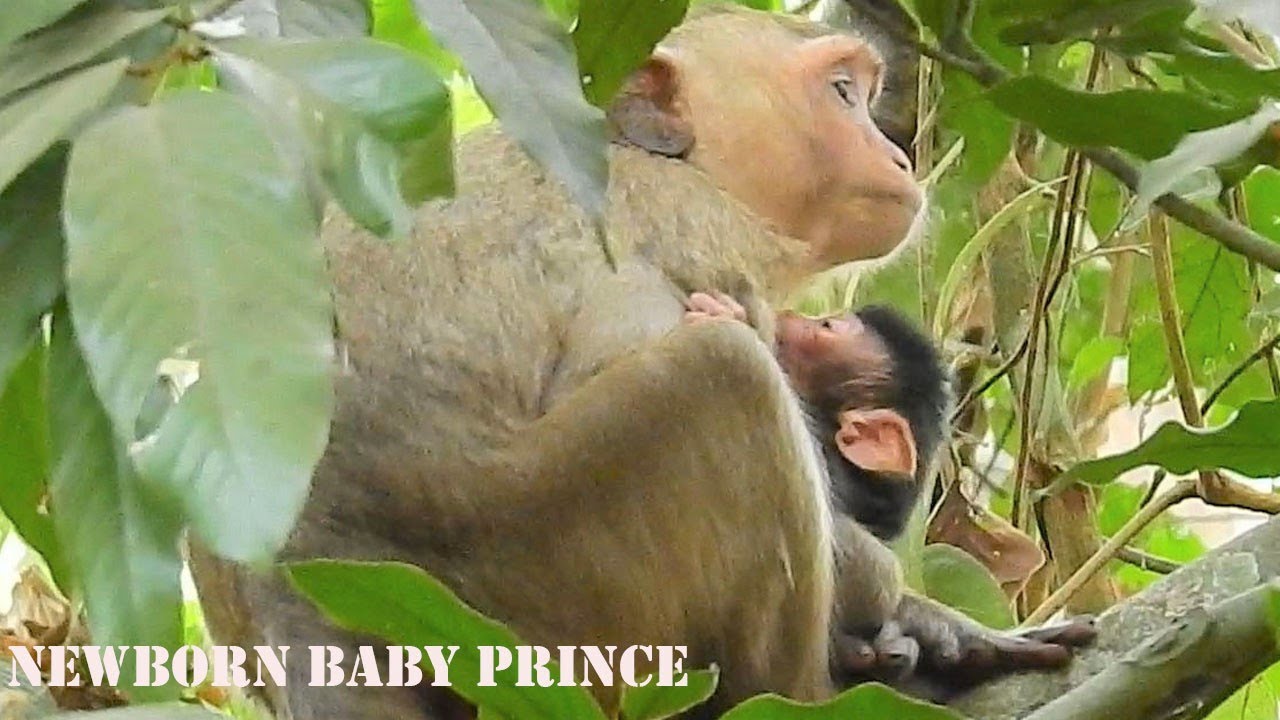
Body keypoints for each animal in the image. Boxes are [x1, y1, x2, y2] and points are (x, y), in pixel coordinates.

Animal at [190, 6, 1090, 719]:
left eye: (869, 97)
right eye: (841, 94)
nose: (900, 161)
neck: (666, 158)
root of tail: (292, 603)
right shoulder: (690, 222)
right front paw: (917, 614)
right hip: (546, 597)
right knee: (723, 374)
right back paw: (804, 690)